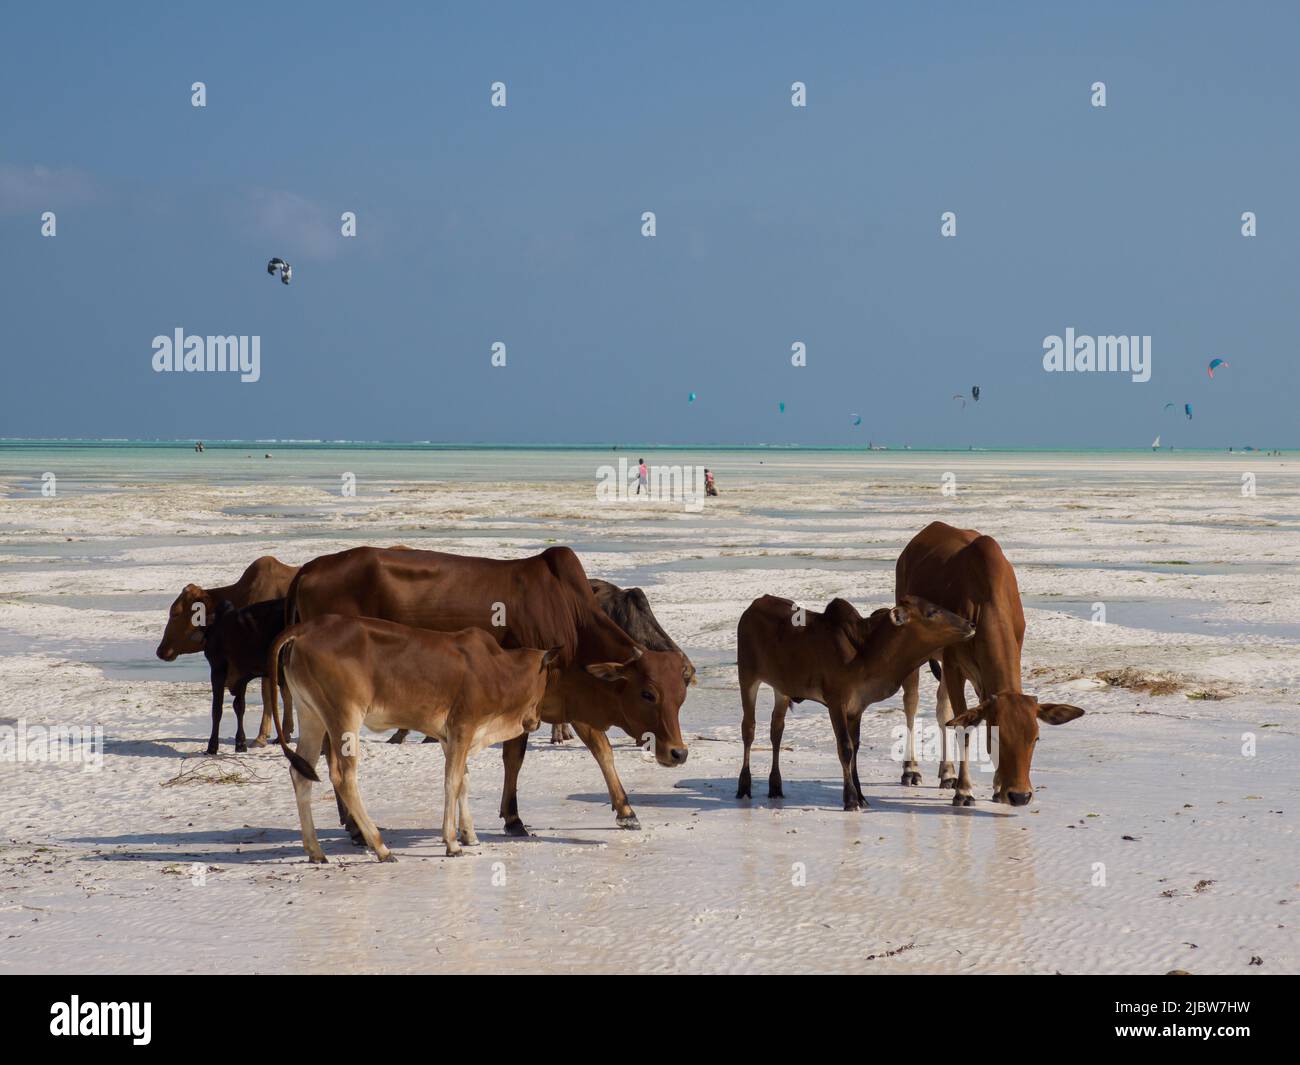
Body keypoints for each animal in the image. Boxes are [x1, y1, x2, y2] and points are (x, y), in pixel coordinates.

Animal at [200, 599, 292, 753]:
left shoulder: (218, 670)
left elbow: (217, 708)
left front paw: (212, 746)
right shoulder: (241, 677)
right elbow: (239, 706)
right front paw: (241, 743)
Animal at [265, 615, 562, 861]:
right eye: (546, 680)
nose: (535, 720)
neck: (498, 669)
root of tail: (305, 629)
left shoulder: (448, 737)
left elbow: (464, 781)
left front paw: (469, 835)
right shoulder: (462, 727)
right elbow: (452, 782)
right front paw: (452, 842)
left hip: (311, 715)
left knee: (301, 773)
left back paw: (315, 850)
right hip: (343, 717)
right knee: (343, 777)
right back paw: (381, 847)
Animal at [285, 545, 692, 836]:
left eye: (680, 697)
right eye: (648, 693)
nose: (678, 753)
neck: (569, 615)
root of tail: (309, 568)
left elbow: (599, 751)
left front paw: (626, 809)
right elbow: (522, 756)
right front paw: (514, 819)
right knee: (333, 754)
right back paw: (356, 829)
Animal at [736, 594, 976, 810]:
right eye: (932, 612)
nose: (971, 624)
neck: (865, 652)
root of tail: (752, 607)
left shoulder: (857, 707)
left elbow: (856, 747)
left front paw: (861, 796)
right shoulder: (836, 702)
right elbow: (845, 748)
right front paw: (851, 799)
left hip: (781, 690)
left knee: (776, 730)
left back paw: (776, 787)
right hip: (747, 677)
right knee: (749, 729)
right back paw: (744, 787)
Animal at [895, 521, 1085, 807]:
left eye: (1036, 738)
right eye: (995, 736)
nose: (1020, 795)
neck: (984, 602)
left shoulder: (981, 676)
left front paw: (995, 787)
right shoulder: (953, 667)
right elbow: (963, 726)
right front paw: (964, 791)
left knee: (941, 708)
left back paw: (947, 773)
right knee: (912, 702)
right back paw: (911, 770)